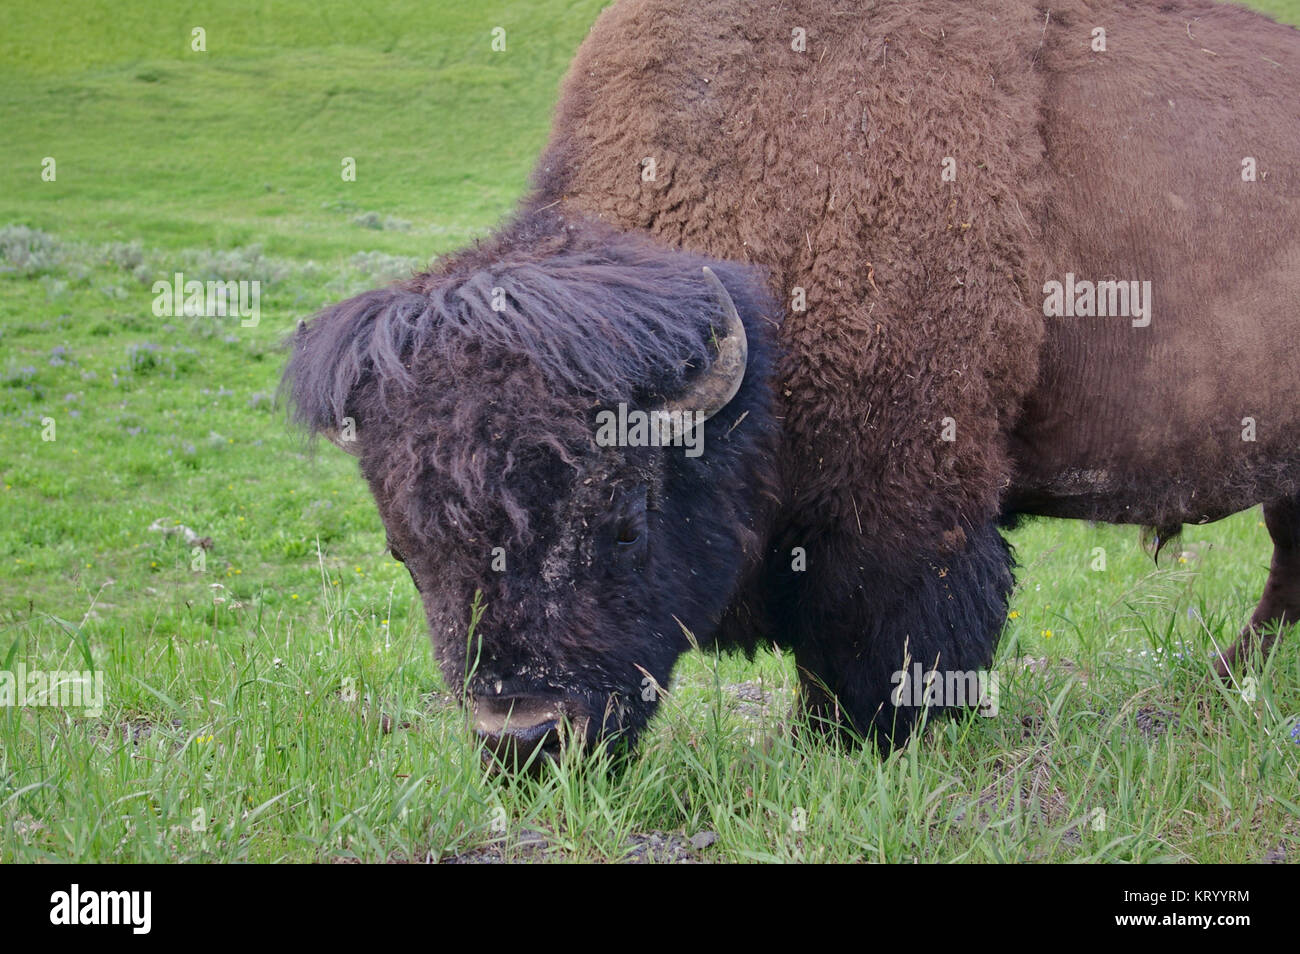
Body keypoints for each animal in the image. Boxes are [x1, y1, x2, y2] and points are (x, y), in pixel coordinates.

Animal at [285, 0, 1300, 761]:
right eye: (403, 551)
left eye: (623, 524)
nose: (524, 738)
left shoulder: (904, 508)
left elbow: (879, 644)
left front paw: (862, 746)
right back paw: (1232, 683)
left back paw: (1227, 683)